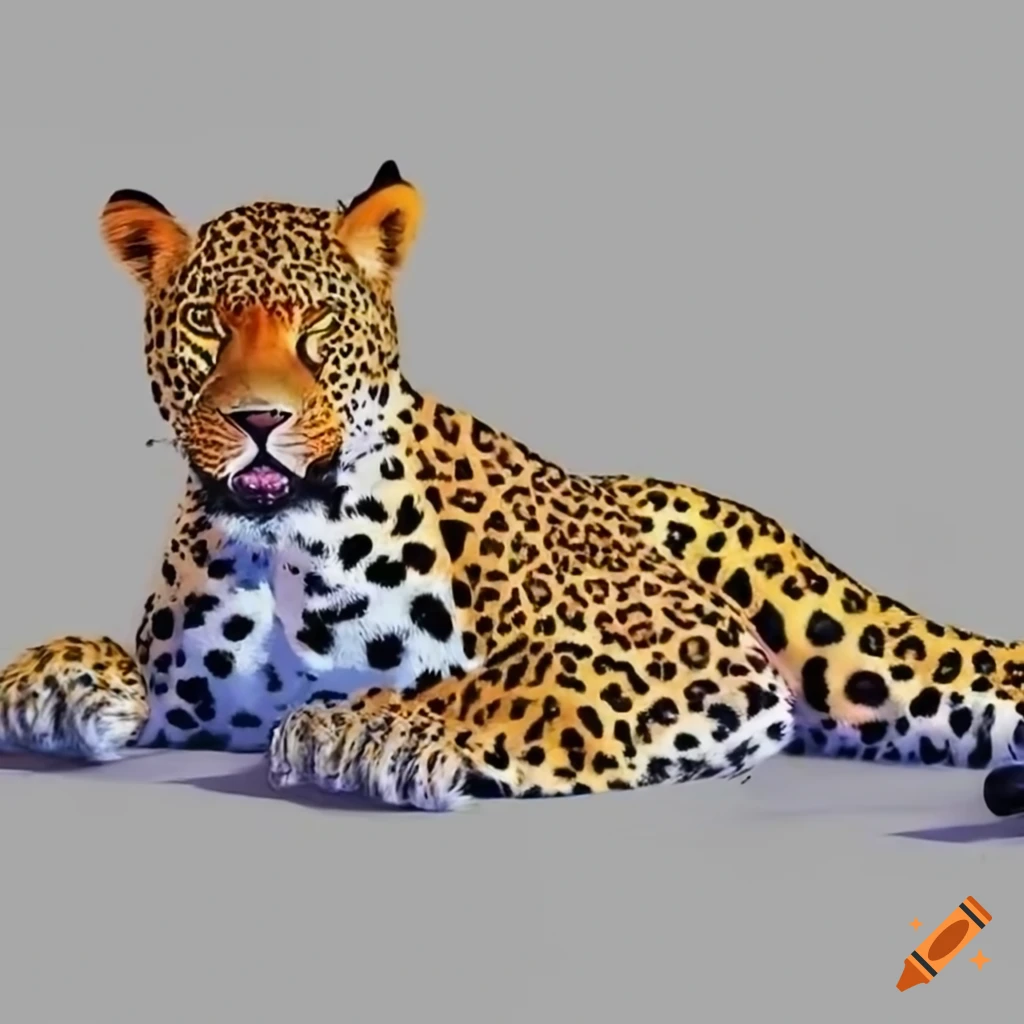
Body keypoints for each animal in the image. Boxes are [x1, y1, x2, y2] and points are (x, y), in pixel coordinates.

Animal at [2, 158, 1022, 812]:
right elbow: (127, 670)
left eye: (319, 324)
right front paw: (56, 679)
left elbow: (523, 683)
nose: (258, 420)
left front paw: (382, 729)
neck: (282, 547)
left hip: (832, 643)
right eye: (209, 323)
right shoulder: (198, 710)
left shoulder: (688, 649)